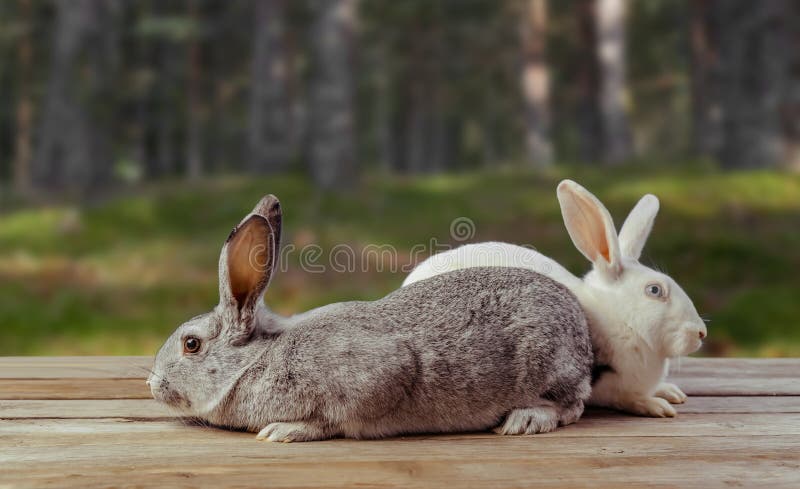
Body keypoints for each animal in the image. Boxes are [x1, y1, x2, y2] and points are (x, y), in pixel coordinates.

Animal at [148, 194, 594, 442]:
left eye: (191, 344)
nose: (151, 383)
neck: (256, 361)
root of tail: (583, 331)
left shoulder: (378, 374)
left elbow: (332, 418)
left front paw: (284, 431)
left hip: (549, 365)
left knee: (571, 406)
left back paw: (525, 418)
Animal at [403, 179, 707, 418]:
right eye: (654, 291)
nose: (701, 333)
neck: (616, 320)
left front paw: (669, 391)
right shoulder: (604, 387)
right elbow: (625, 398)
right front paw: (655, 405)